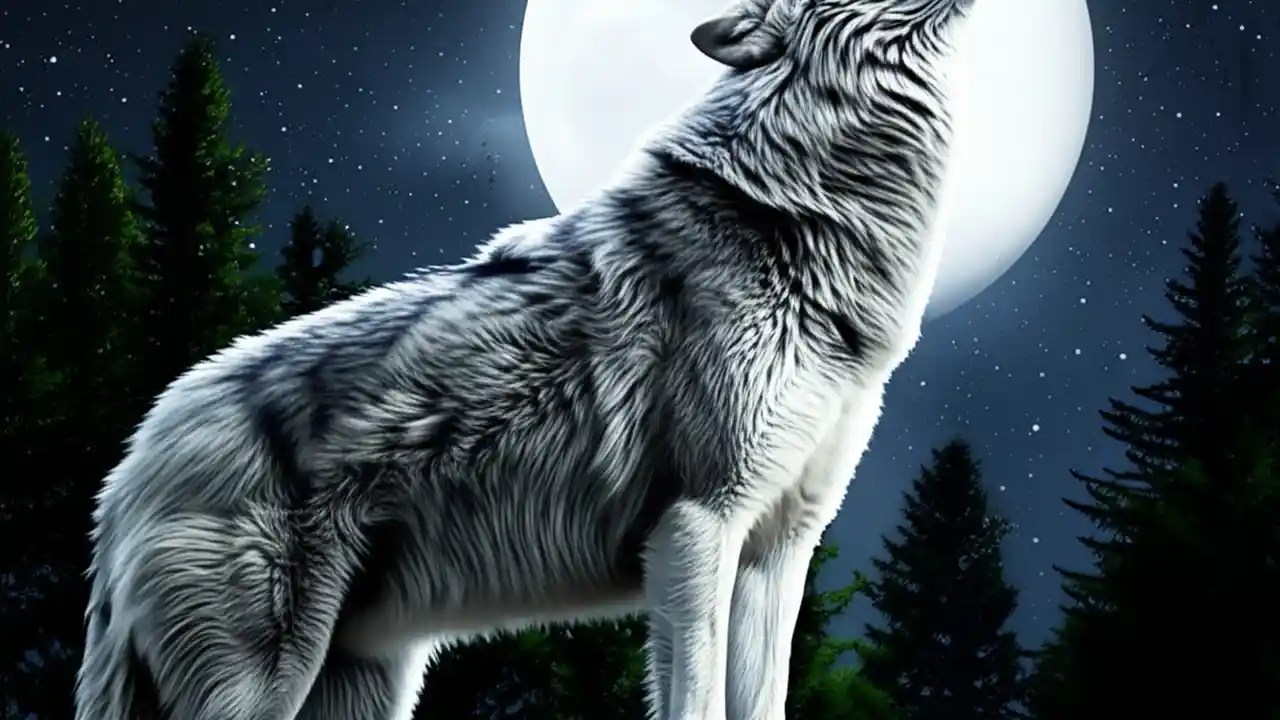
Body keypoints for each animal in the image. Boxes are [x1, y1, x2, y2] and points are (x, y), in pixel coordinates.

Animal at [74, 0, 975, 717]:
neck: (800, 211)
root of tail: (130, 465)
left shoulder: (779, 550)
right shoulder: (698, 523)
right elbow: (695, 700)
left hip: (363, 684)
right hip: (265, 684)